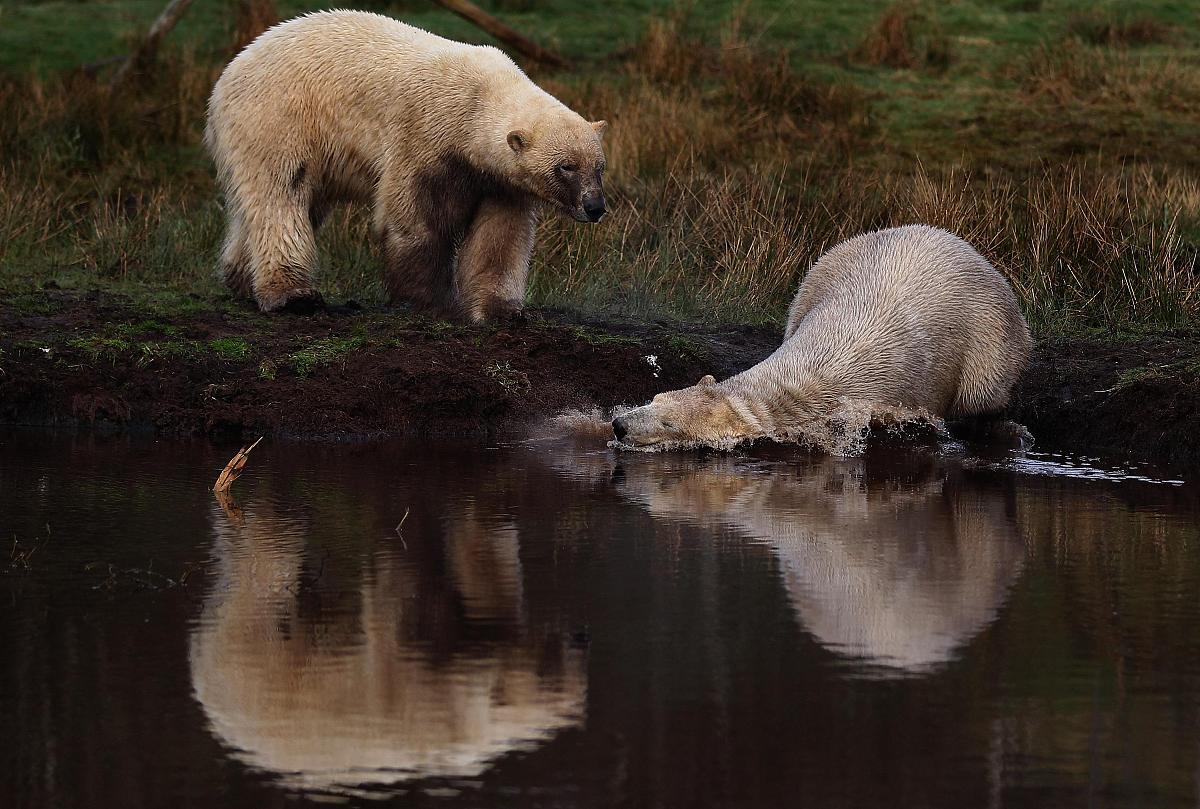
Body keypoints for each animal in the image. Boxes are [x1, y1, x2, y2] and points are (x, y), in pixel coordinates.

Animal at [205, 10, 608, 319]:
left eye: (599, 166)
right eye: (565, 167)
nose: (595, 207)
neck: (476, 101)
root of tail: (227, 74)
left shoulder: (499, 180)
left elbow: (500, 236)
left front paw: (502, 310)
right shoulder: (424, 135)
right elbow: (413, 217)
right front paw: (430, 300)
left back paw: (241, 280)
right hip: (278, 117)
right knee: (281, 194)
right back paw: (293, 295)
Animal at [612, 225, 1032, 448]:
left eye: (670, 425)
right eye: (656, 398)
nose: (619, 424)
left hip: (992, 332)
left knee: (984, 389)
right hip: (831, 262)